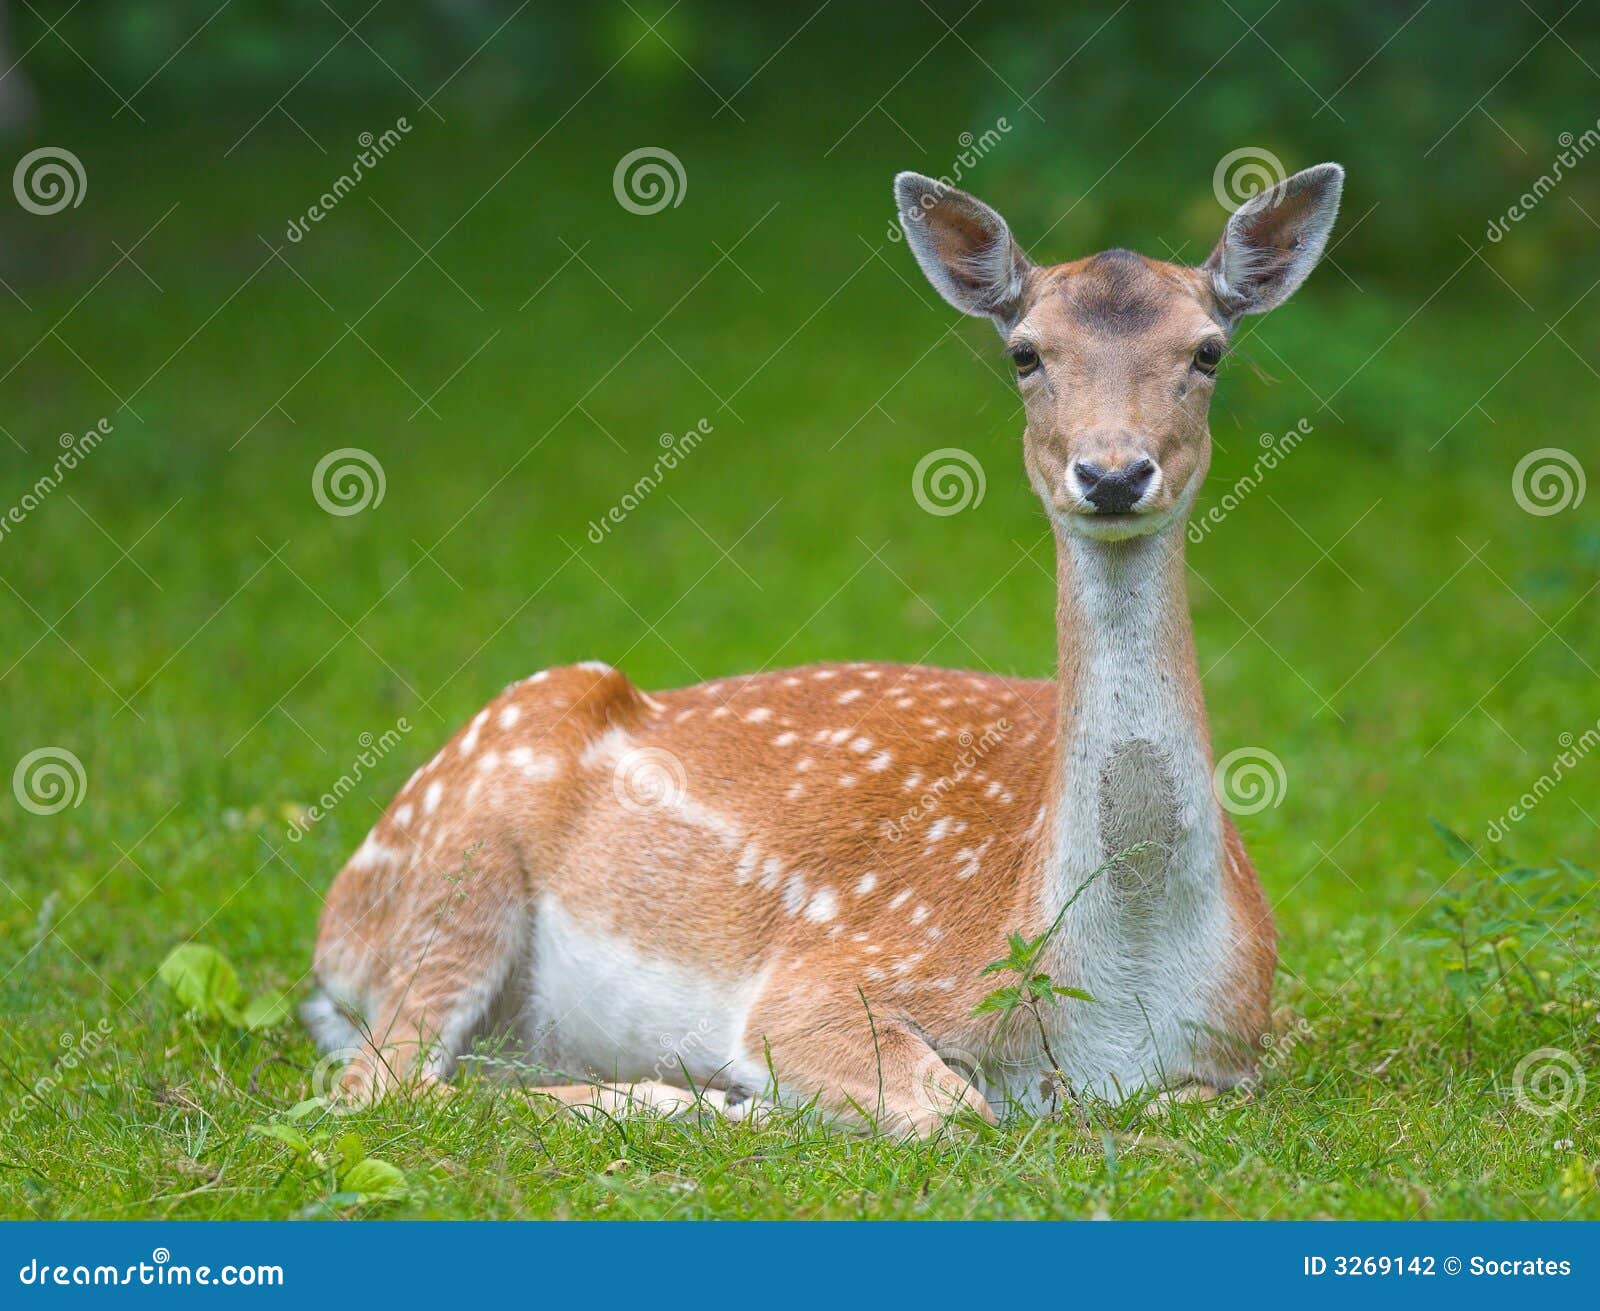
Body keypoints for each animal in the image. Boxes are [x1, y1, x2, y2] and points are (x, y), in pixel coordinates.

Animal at [307, 160, 1343, 1134]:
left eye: (1208, 350)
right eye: (1024, 352)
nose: (1115, 472)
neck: (1123, 985)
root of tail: (330, 932)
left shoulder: (1238, 1056)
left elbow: (1187, 1102)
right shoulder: (825, 979)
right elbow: (954, 1110)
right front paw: (760, 1096)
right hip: (458, 872)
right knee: (379, 1084)